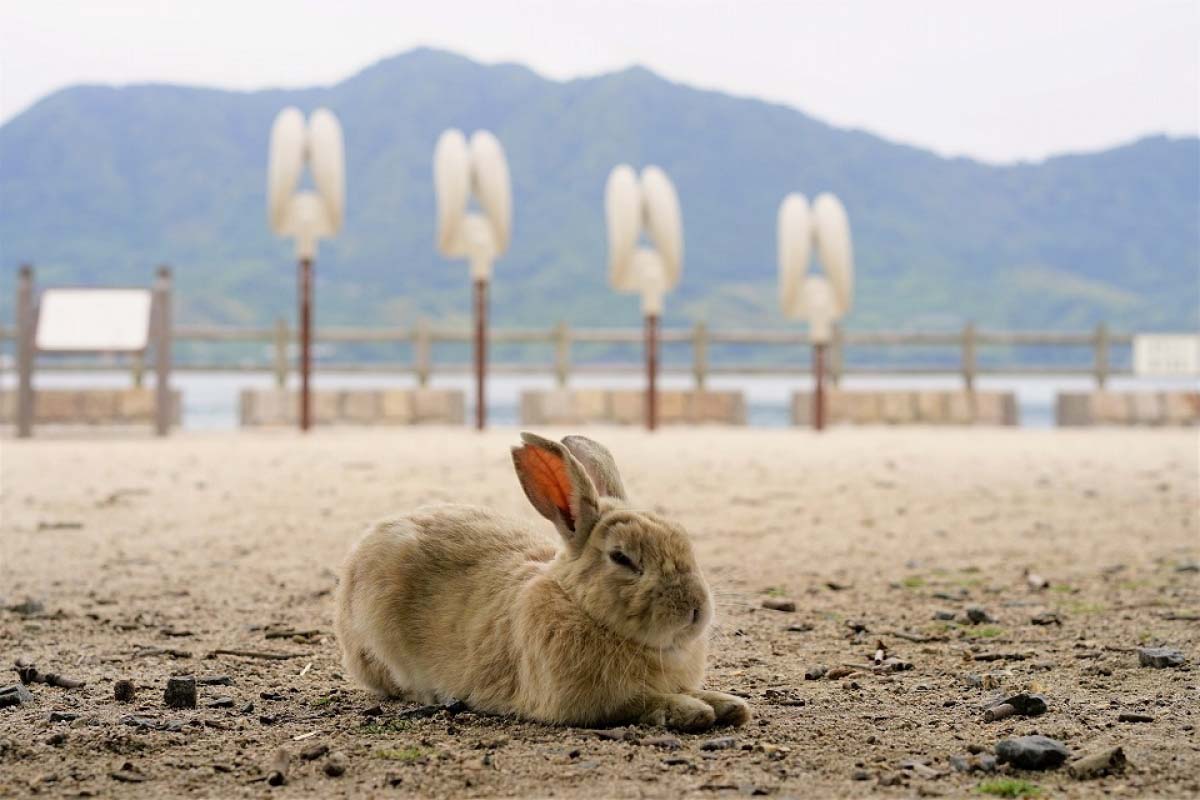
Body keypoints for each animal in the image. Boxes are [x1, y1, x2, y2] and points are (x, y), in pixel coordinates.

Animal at [333, 432, 749, 732]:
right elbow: (642, 702)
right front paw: (691, 710)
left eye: (684, 538)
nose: (696, 610)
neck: (580, 605)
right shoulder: (593, 701)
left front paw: (729, 705)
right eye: (622, 558)